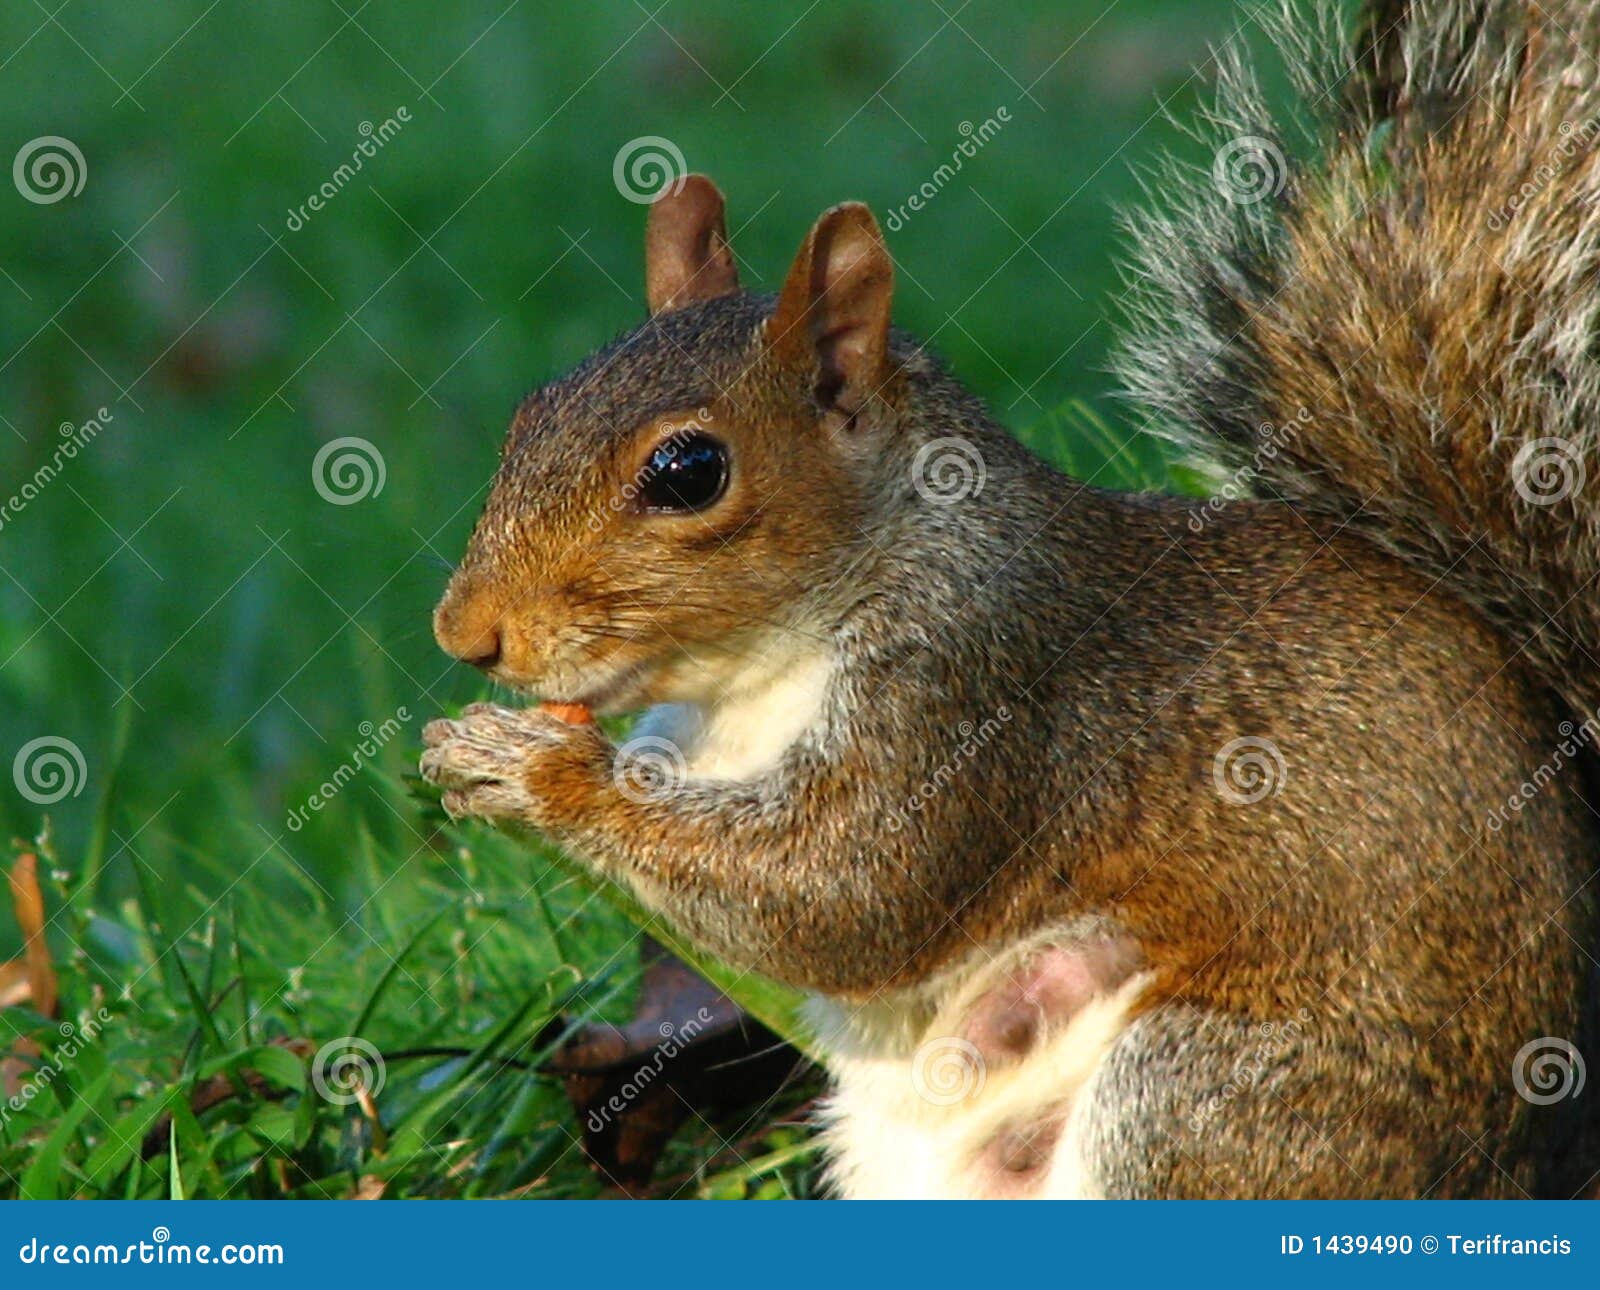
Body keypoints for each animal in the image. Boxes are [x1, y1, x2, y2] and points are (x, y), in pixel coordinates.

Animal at [422, 0, 1600, 1198]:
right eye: (528, 413)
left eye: (688, 471)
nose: (465, 634)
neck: (749, 680)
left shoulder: (978, 691)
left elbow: (845, 891)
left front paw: (535, 772)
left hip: (1212, 1093)